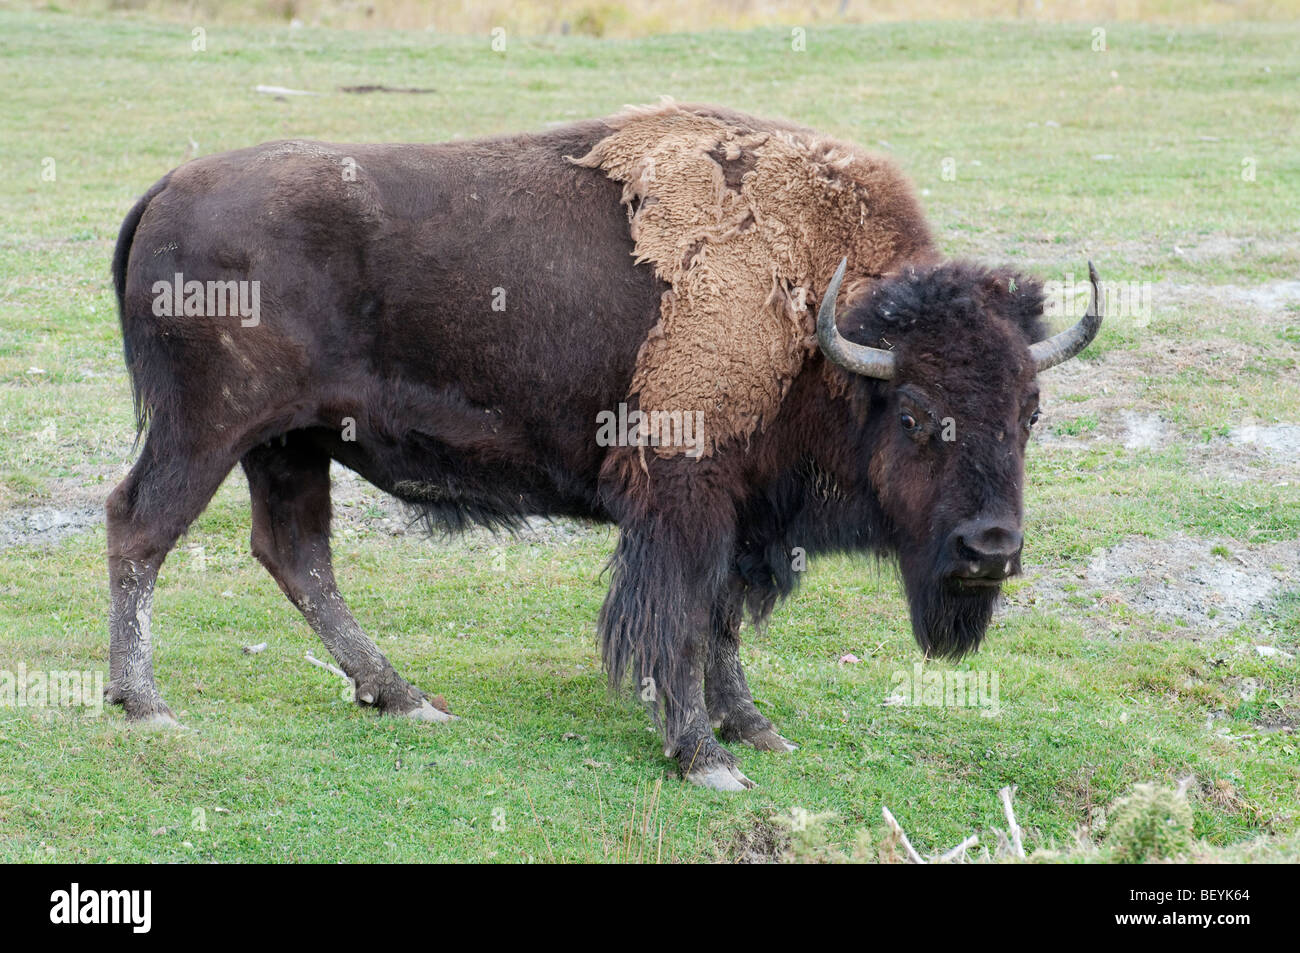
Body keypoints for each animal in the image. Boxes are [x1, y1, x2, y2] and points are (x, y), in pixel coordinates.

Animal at [107, 104, 1101, 789]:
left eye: (1031, 409)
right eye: (915, 412)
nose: (989, 549)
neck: (816, 317)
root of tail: (166, 187)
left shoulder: (739, 511)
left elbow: (720, 619)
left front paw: (754, 727)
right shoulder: (684, 499)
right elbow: (682, 622)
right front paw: (704, 756)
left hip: (290, 444)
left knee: (297, 553)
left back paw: (404, 698)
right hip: (211, 430)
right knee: (140, 528)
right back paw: (146, 708)